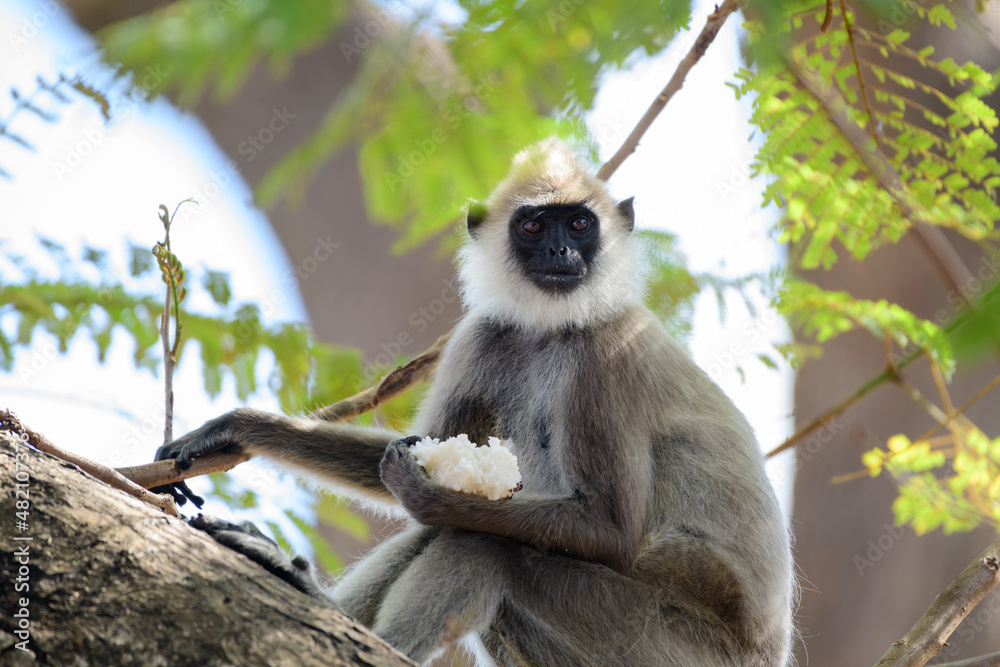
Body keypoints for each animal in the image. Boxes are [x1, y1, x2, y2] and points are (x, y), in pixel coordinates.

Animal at [155, 138, 794, 666]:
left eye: (579, 223)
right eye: (534, 226)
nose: (560, 251)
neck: (554, 329)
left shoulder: (608, 354)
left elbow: (611, 532)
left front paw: (422, 493)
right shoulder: (484, 334)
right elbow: (420, 451)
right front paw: (236, 427)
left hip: (660, 642)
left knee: (483, 544)